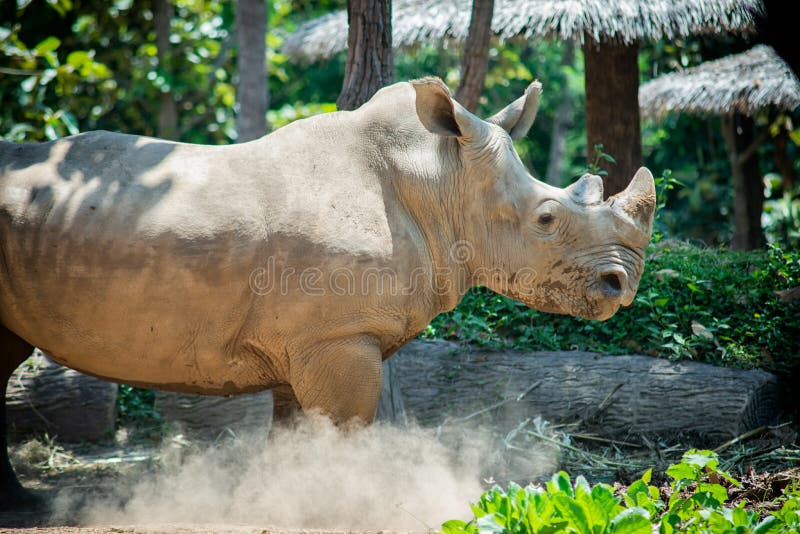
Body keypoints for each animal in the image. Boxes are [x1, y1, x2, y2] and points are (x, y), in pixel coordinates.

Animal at [0, 77, 654, 506]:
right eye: (546, 218)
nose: (623, 284)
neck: (441, 180)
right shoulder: (336, 336)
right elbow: (342, 431)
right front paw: (336, 506)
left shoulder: (306, 341)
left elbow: (296, 435)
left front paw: (279, 502)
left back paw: (23, 505)